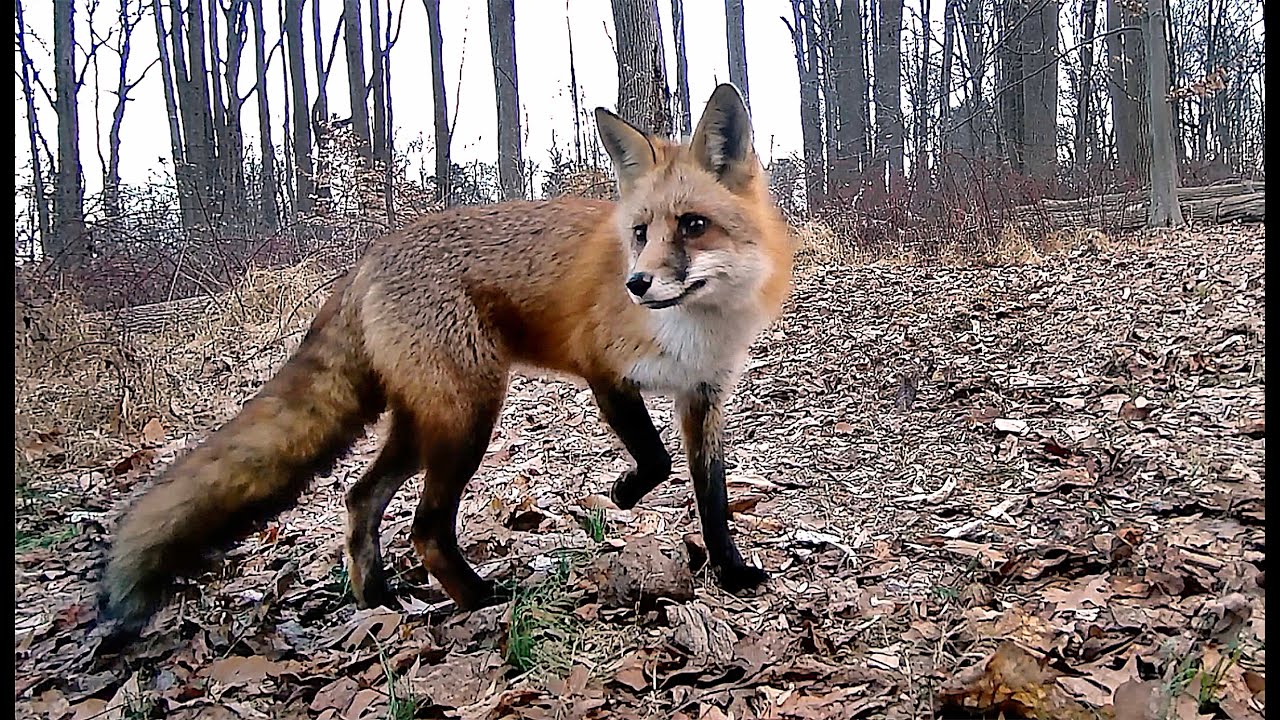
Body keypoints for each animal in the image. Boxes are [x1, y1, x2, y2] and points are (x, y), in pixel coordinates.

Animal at [97, 83, 794, 640]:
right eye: (641, 233)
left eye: (694, 225)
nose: (637, 285)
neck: (699, 324)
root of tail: (367, 259)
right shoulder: (604, 371)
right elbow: (655, 459)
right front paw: (624, 494)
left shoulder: (702, 395)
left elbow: (711, 497)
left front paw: (731, 570)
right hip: (467, 417)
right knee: (425, 528)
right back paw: (482, 598)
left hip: (424, 423)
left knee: (360, 498)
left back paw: (379, 600)